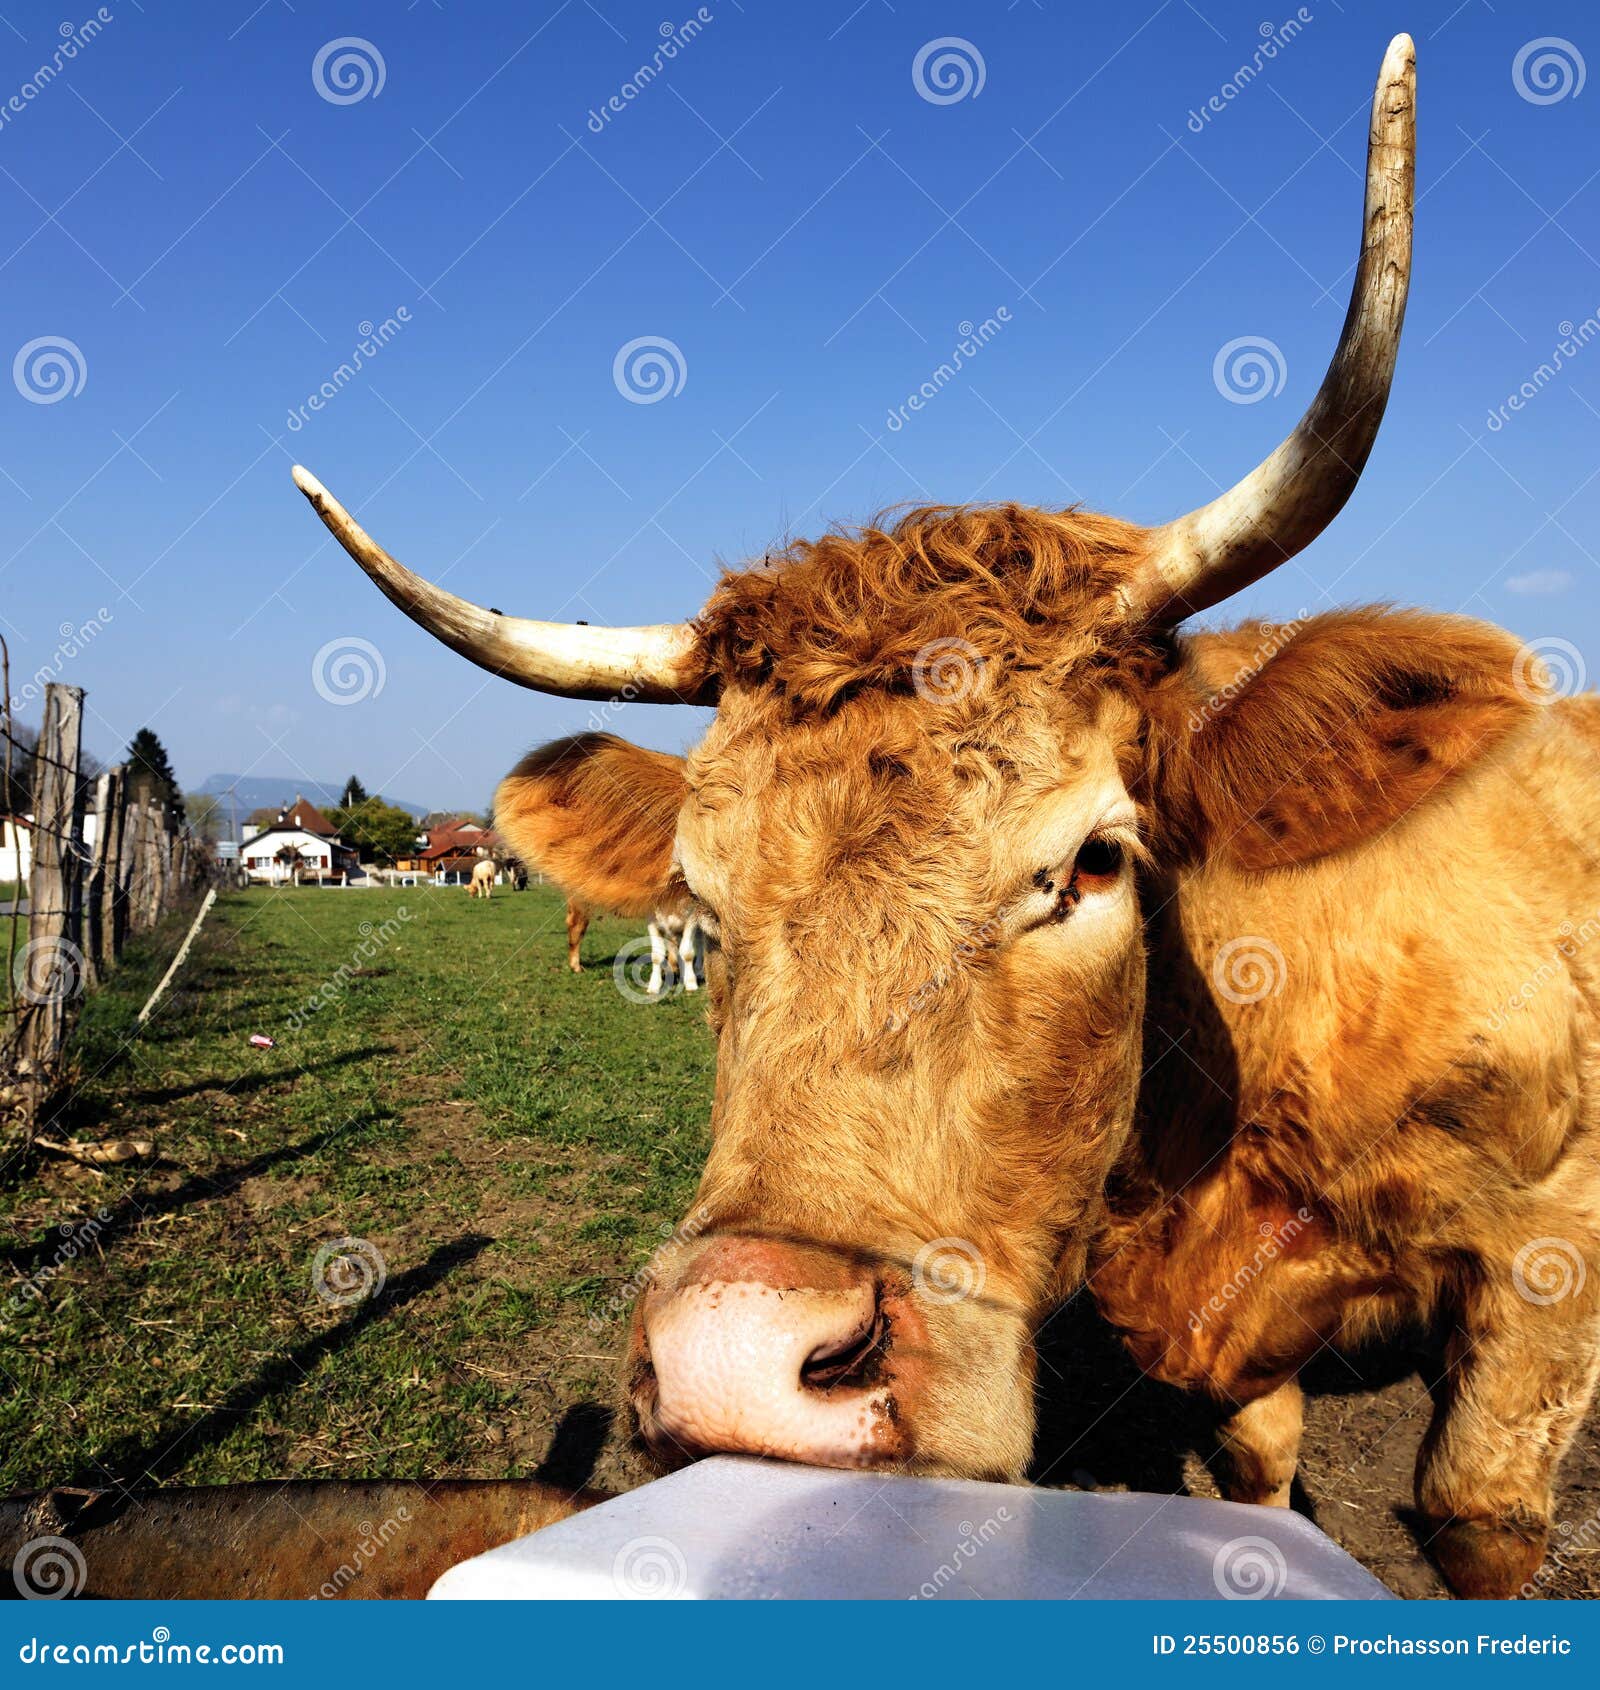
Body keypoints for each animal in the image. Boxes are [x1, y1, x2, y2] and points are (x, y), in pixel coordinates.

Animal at [496, 734, 704, 995]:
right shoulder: (653, 918)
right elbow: (659, 953)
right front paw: (656, 985)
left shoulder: (691, 918)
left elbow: (689, 951)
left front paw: (690, 983)